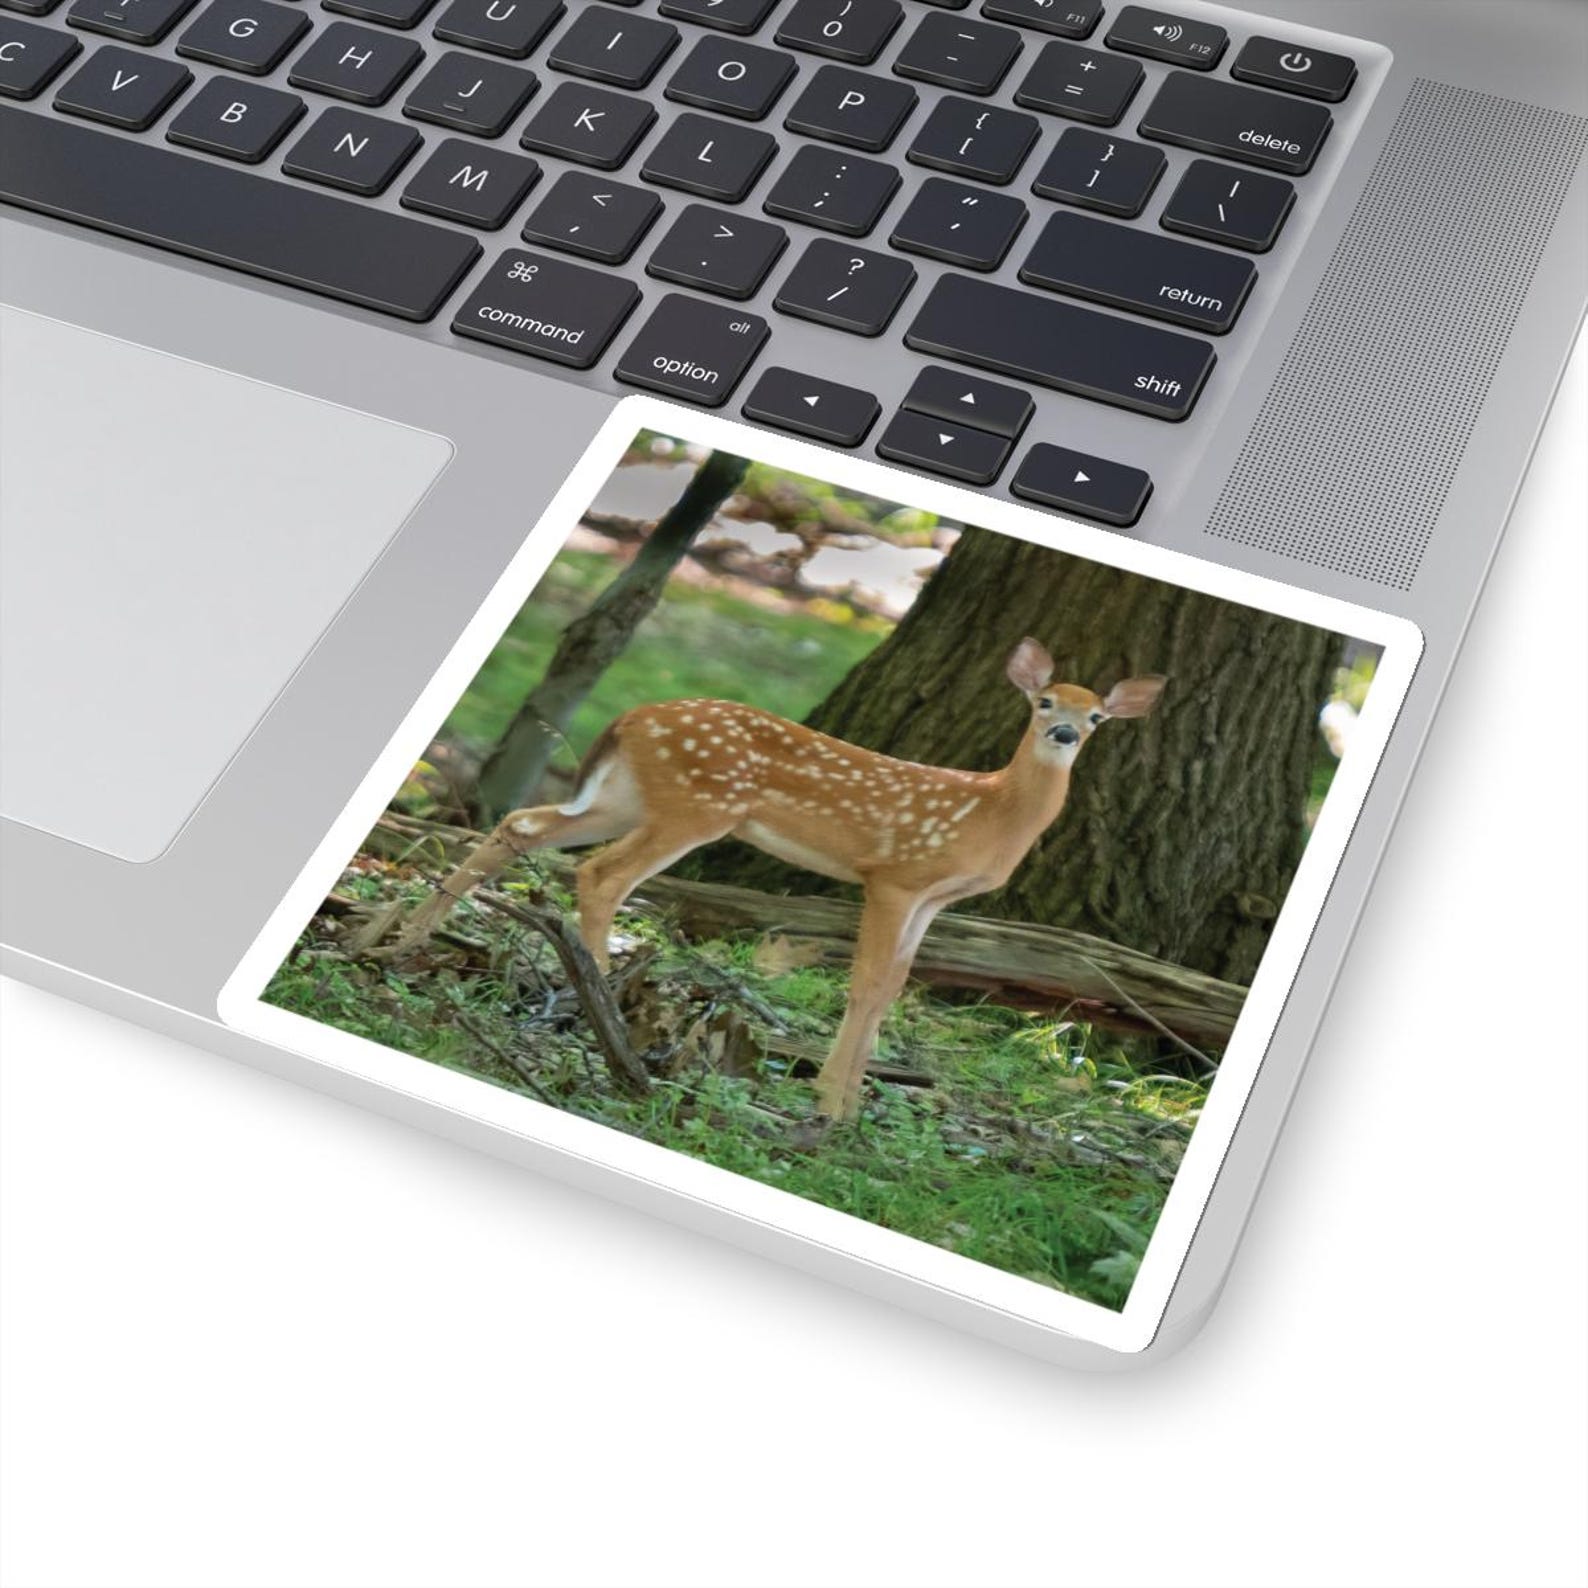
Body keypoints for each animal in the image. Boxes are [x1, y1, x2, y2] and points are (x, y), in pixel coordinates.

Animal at [371, 639, 1164, 1122]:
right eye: (1043, 703)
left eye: (1096, 715)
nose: (1064, 734)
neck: (989, 813)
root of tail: (632, 716)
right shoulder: (895, 874)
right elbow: (866, 985)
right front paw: (831, 1106)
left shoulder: (934, 899)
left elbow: (891, 989)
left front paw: (847, 1104)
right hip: (697, 805)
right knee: (601, 874)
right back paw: (603, 1011)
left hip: (628, 796)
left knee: (523, 824)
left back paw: (406, 939)